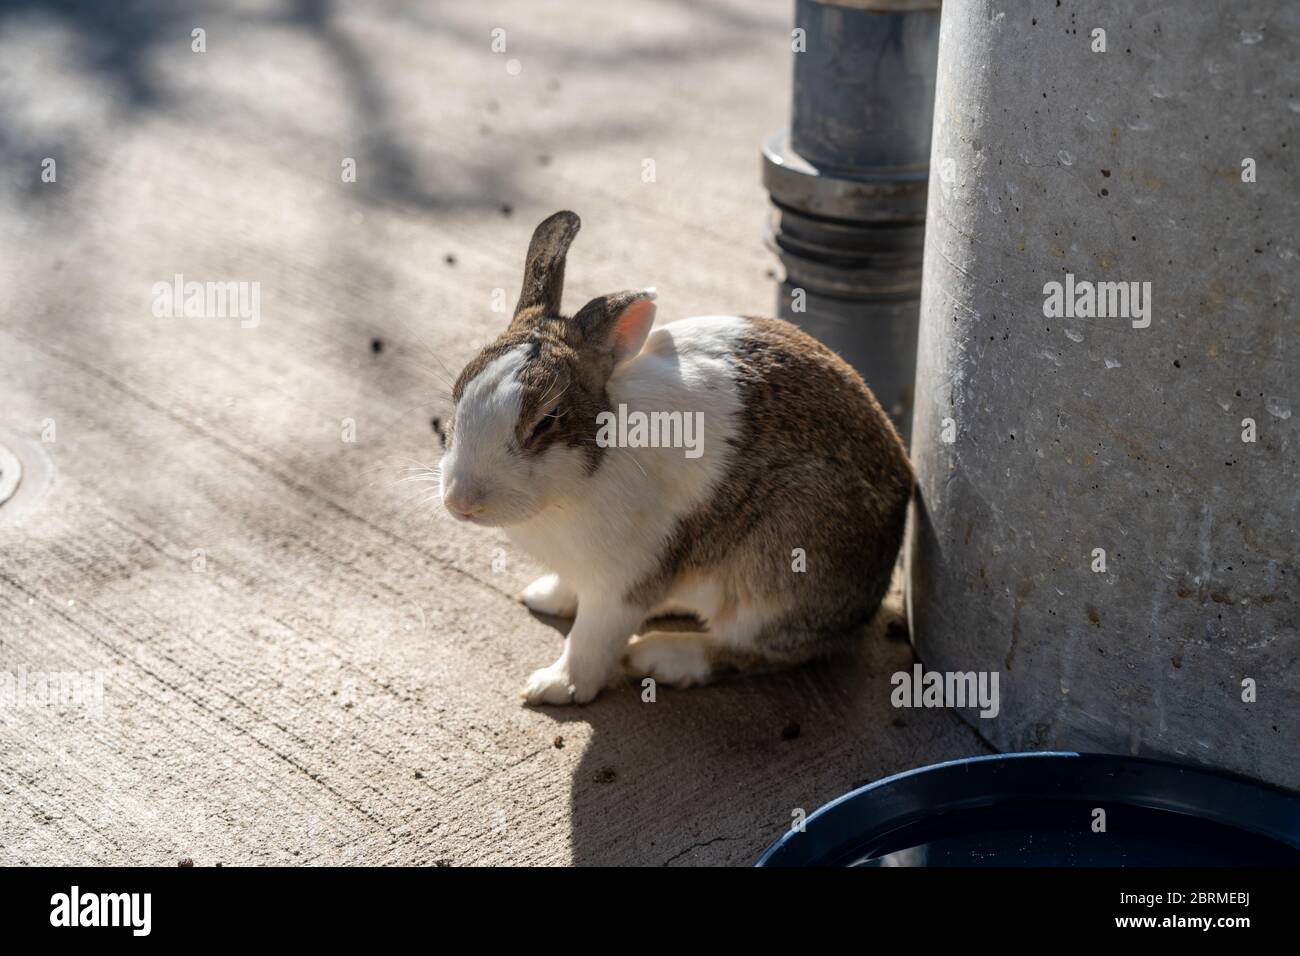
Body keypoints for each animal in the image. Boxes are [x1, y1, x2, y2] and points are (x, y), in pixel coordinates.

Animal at [438, 211, 914, 704]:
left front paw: (555, 686)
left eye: (546, 420)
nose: (460, 501)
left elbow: (590, 642)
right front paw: (546, 596)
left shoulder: (620, 585)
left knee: (754, 648)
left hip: (783, 567)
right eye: (460, 390)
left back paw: (659, 657)